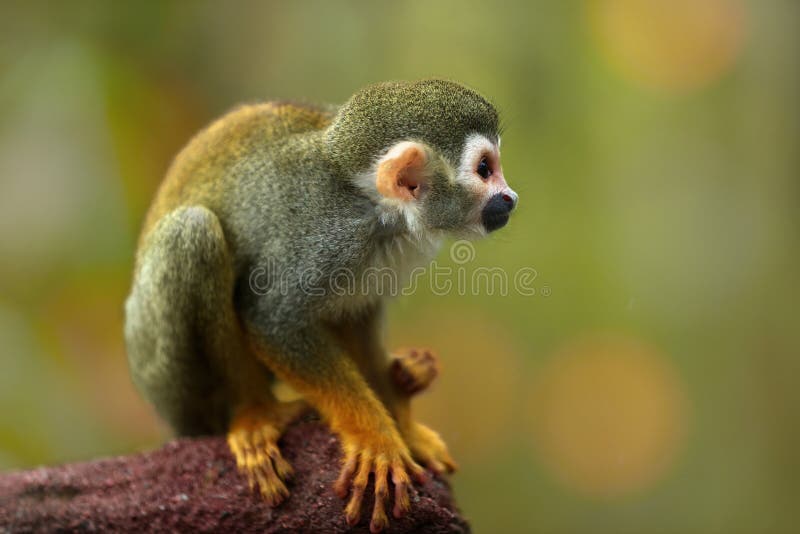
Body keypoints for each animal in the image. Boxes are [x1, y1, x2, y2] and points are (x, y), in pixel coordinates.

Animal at [124, 79, 517, 532]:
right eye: (485, 169)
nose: (511, 197)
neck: (374, 209)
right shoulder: (328, 239)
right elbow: (273, 320)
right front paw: (374, 438)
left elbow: (359, 316)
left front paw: (402, 425)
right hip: (162, 371)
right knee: (193, 233)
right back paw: (254, 413)